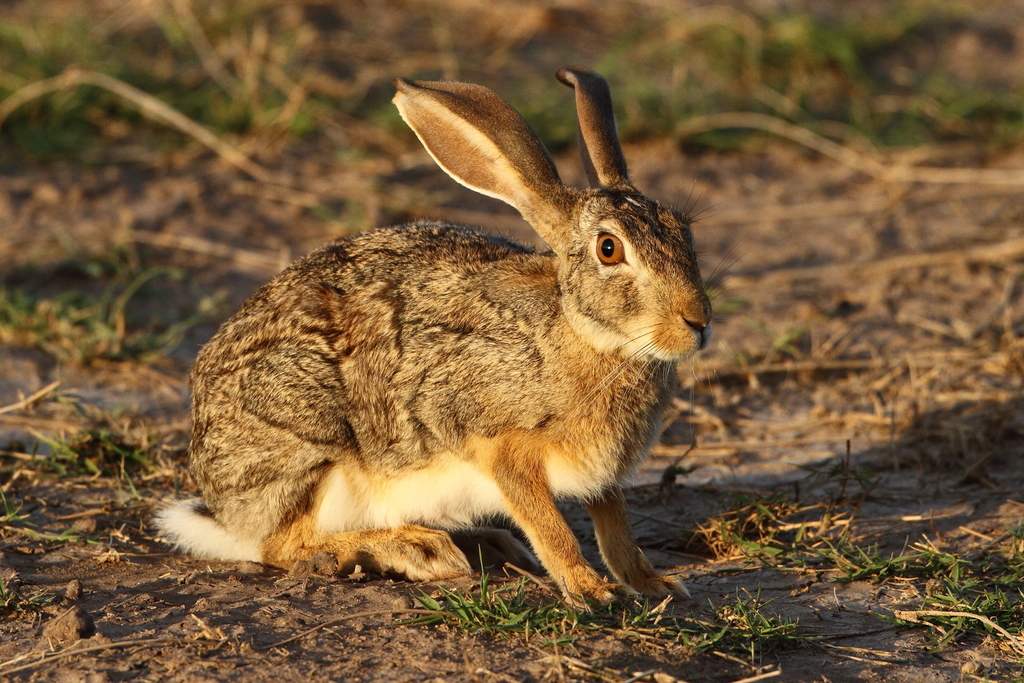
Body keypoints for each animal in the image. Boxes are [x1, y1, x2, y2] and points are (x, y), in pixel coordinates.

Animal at [155, 67, 712, 605]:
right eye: (609, 249)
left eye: (684, 230)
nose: (699, 320)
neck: (582, 331)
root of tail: (221, 506)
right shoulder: (498, 442)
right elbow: (549, 525)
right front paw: (591, 590)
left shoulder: (601, 476)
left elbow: (617, 530)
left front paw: (654, 584)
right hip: (309, 445)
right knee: (282, 543)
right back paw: (415, 549)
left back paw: (484, 543)